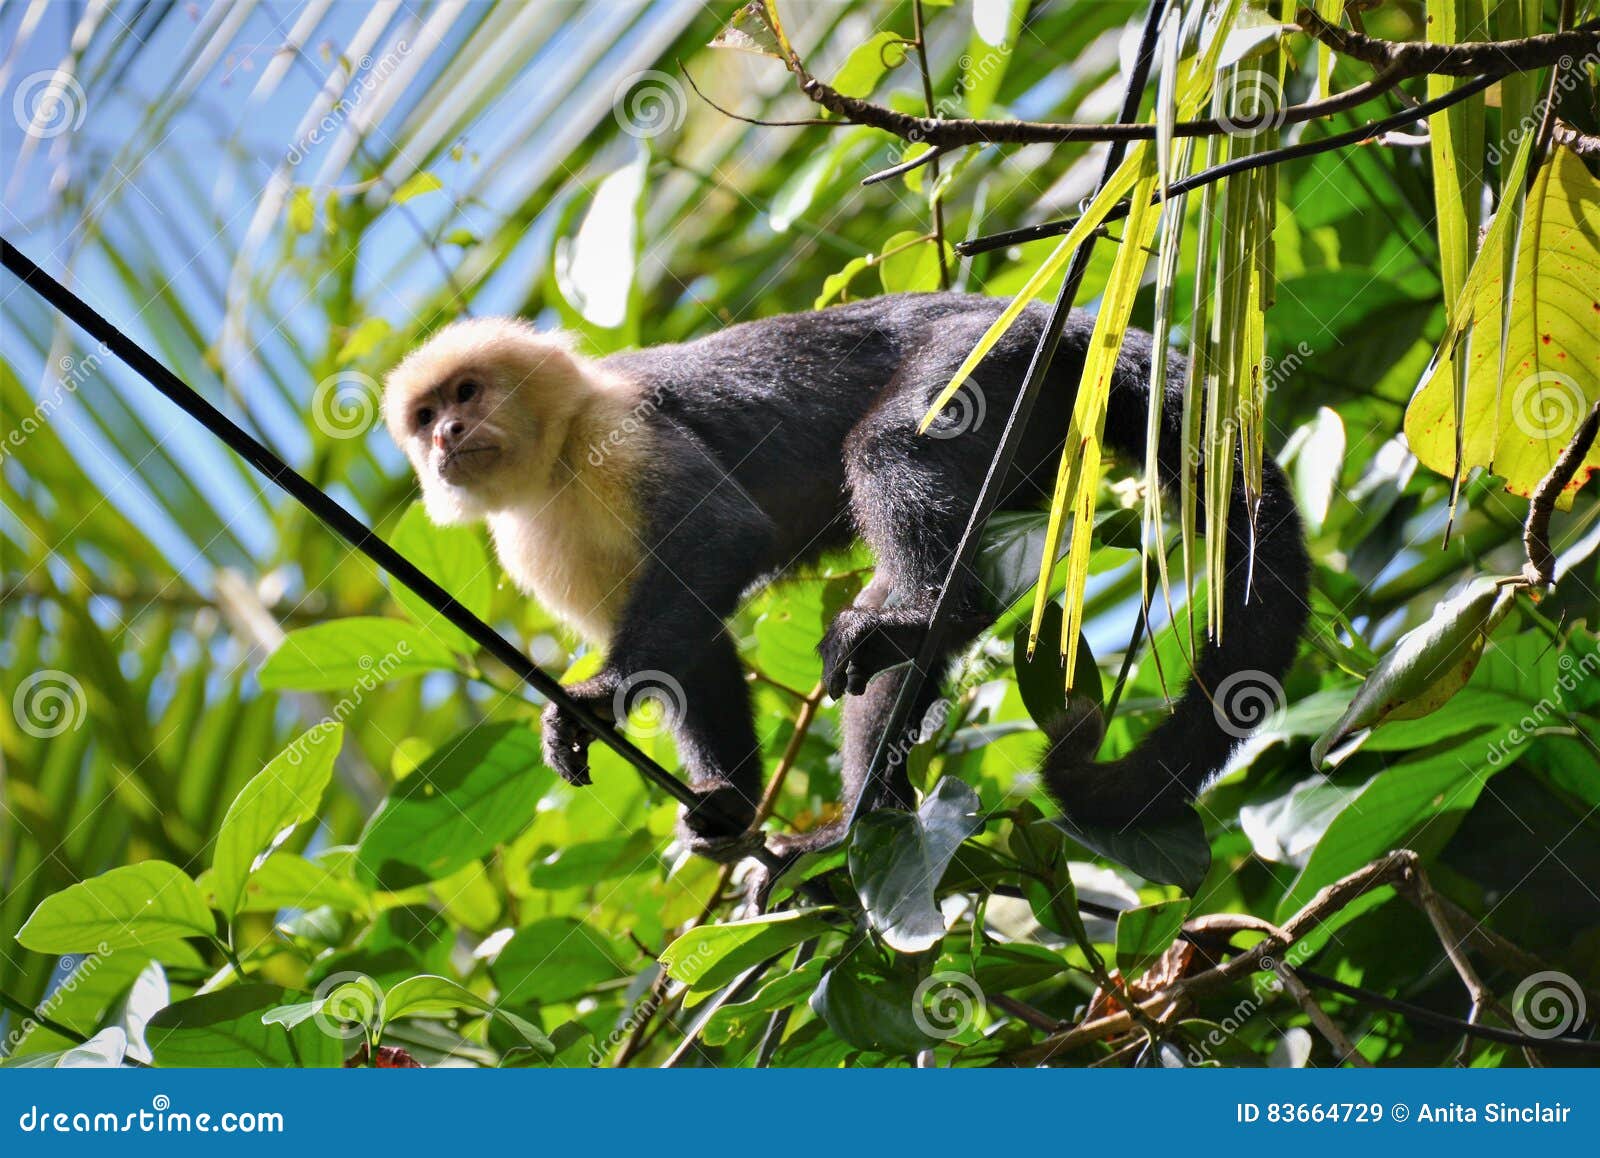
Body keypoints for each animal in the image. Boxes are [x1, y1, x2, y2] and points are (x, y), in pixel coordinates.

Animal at [382, 293, 1310, 861]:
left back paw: (924, 612)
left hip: (991, 356)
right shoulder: (532, 539)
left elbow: (720, 538)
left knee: (889, 445)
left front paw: (598, 696)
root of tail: (1057, 313)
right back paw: (871, 802)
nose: (446, 437)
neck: (556, 458)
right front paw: (728, 803)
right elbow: (696, 650)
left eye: (467, 392)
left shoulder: (620, 425)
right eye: (425, 417)